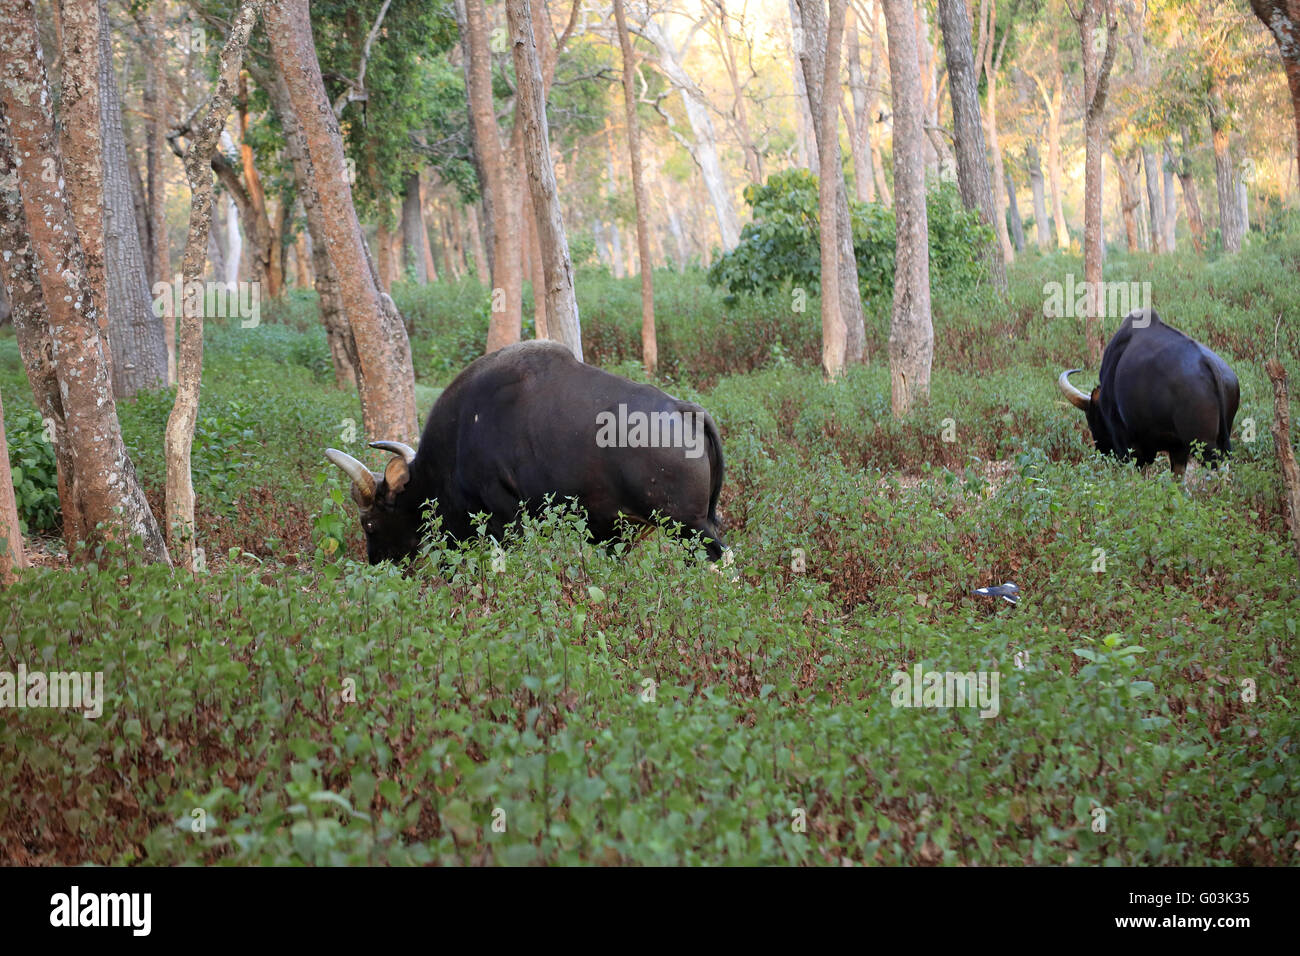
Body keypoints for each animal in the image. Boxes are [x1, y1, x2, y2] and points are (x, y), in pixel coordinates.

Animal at [326, 340, 727, 564]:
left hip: (689, 525)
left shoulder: (507, 520)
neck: (458, 440)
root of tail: (684, 410)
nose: (378, 563)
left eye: (369, 523)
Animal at [1057, 309, 1239, 475]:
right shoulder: (1177, 448)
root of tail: (1208, 364)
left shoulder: (1128, 446)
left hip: (1204, 444)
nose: (1102, 453)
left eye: (1092, 421)